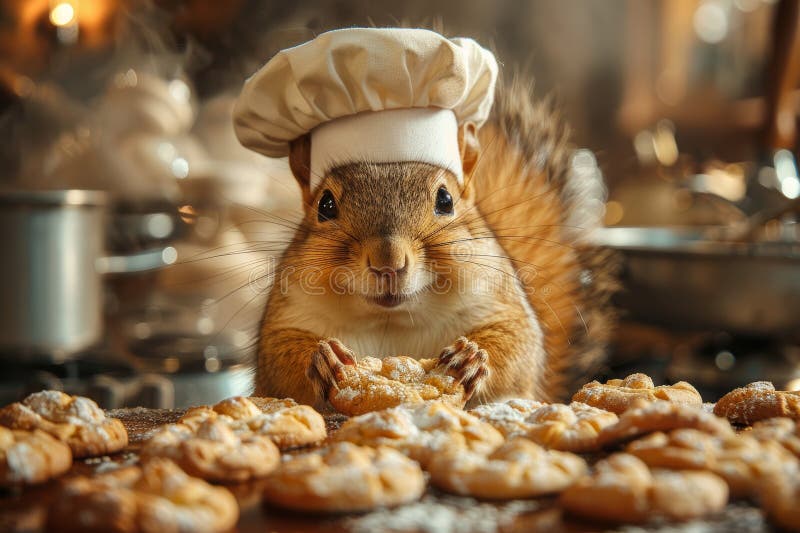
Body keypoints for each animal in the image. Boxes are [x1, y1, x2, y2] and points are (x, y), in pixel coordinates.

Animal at [253, 76, 617, 409]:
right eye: (325, 205)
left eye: (445, 200)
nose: (388, 262)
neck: (393, 320)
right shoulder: (286, 317)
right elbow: (278, 362)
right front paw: (322, 357)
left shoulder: (501, 301)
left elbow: (516, 347)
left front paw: (471, 356)